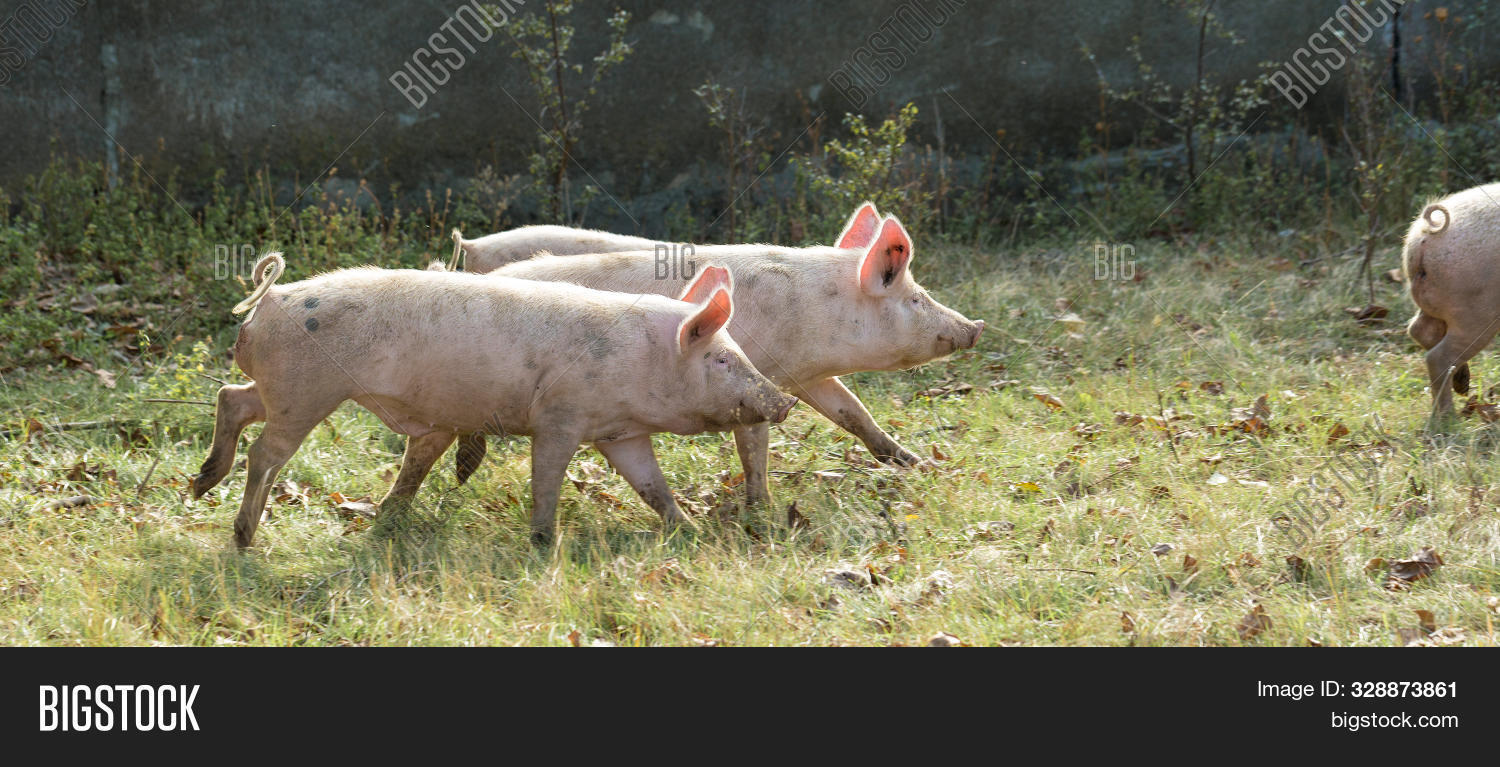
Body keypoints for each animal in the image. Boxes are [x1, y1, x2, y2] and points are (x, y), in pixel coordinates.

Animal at [192, 252, 797, 547]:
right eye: (722, 360)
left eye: (736, 352)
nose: (782, 401)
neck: (641, 361)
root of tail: (272, 299)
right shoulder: (559, 418)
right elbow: (546, 481)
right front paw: (544, 543)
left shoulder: (622, 434)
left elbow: (653, 486)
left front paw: (689, 531)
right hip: (306, 392)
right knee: (265, 454)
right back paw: (243, 537)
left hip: (282, 388)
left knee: (231, 397)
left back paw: (201, 486)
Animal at [454, 209, 985, 514]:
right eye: (916, 298)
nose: (975, 326)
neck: (820, 314)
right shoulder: (761, 374)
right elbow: (754, 444)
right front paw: (763, 512)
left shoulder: (807, 377)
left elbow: (853, 412)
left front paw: (914, 463)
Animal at [1403, 183, 1500, 421]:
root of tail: (1426, 233)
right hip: (1477, 313)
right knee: (1437, 356)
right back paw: (1448, 417)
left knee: (1418, 330)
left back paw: (1461, 387)